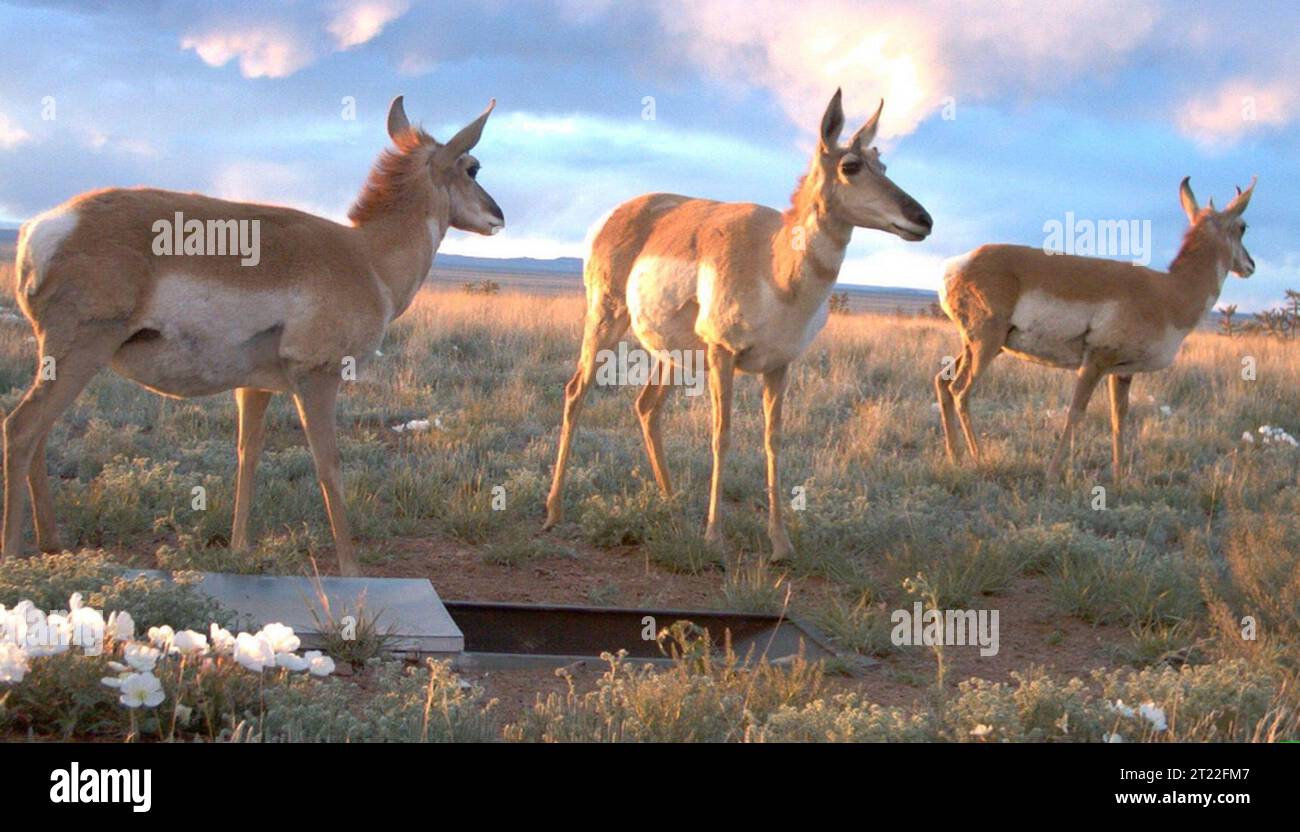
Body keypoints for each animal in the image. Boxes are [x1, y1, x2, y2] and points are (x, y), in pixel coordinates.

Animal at [3, 96, 503, 575]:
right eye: (472, 166)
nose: (498, 216)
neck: (367, 257)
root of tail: (43, 228)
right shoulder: (317, 378)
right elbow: (329, 465)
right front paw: (351, 567)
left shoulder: (255, 387)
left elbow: (248, 455)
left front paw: (240, 548)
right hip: (81, 354)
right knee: (21, 428)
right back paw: (14, 555)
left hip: (62, 362)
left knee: (40, 433)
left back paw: (52, 545)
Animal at [544, 90, 932, 560]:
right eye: (851, 165)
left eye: (884, 164)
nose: (923, 219)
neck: (775, 262)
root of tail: (620, 212)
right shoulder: (722, 354)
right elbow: (721, 434)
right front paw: (715, 537)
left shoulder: (779, 366)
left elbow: (773, 440)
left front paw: (781, 543)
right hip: (606, 321)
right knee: (575, 392)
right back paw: (554, 510)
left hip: (672, 354)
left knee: (647, 407)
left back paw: (671, 503)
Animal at [936, 176, 1256, 482]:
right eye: (1242, 227)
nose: (1251, 265)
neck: (1170, 291)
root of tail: (958, 264)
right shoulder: (1095, 363)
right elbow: (1075, 413)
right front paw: (1052, 475)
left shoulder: (1121, 372)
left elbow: (1119, 417)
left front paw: (1119, 477)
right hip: (986, 345)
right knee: (960, 390)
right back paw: (978, 458)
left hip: (983, 345)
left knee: (942, 381)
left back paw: (955, 456)